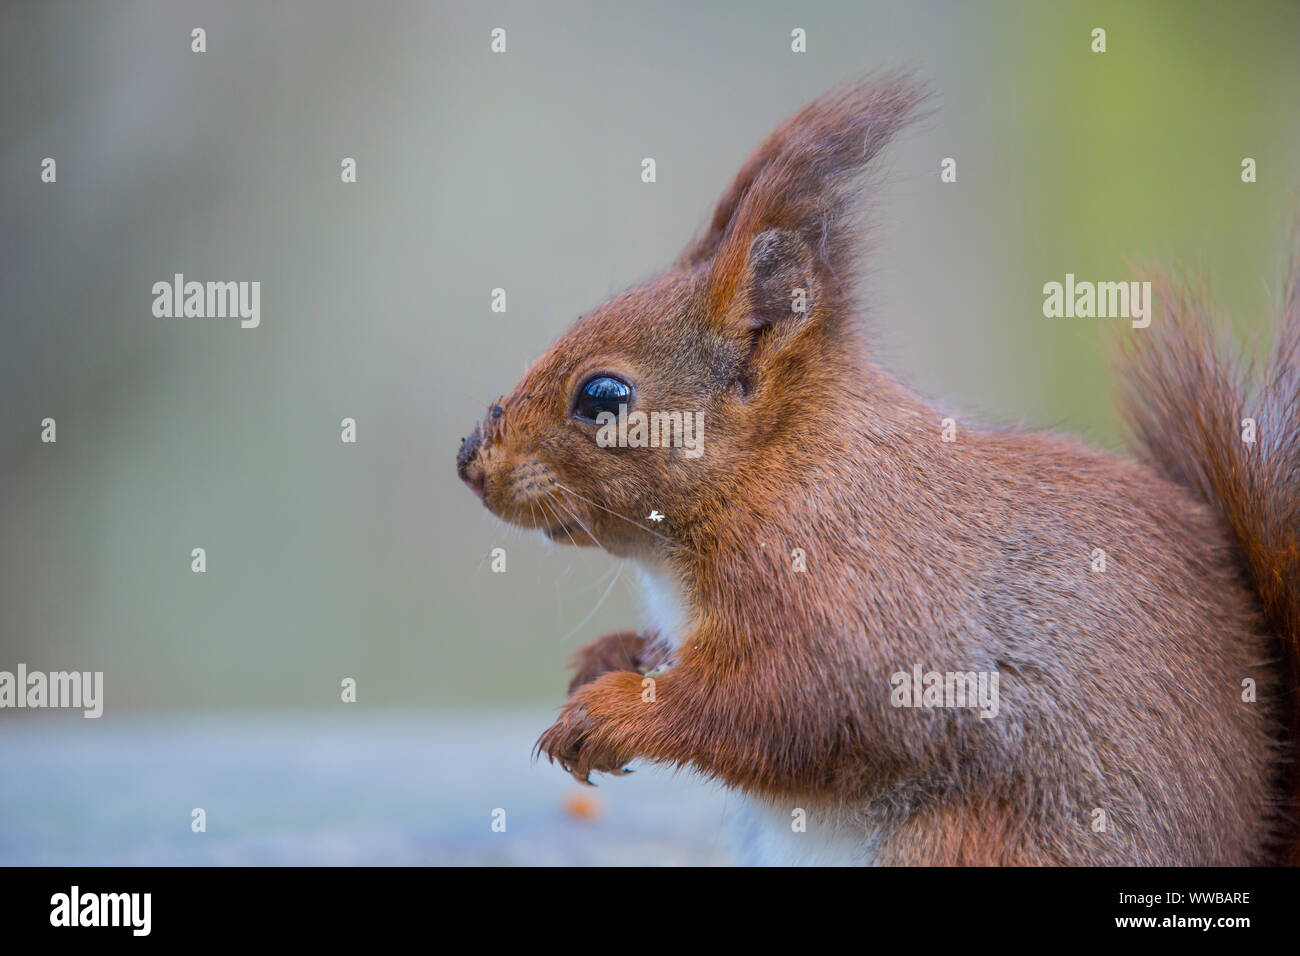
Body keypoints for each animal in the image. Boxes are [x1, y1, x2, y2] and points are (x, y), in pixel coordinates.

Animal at [456, 76, 1300, 865]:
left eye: (603, 396)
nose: (470, 462)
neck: (775, 471)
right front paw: (610, 658)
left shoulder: (850, 599)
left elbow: (793, 708)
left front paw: (609, 712)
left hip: (961, 843)